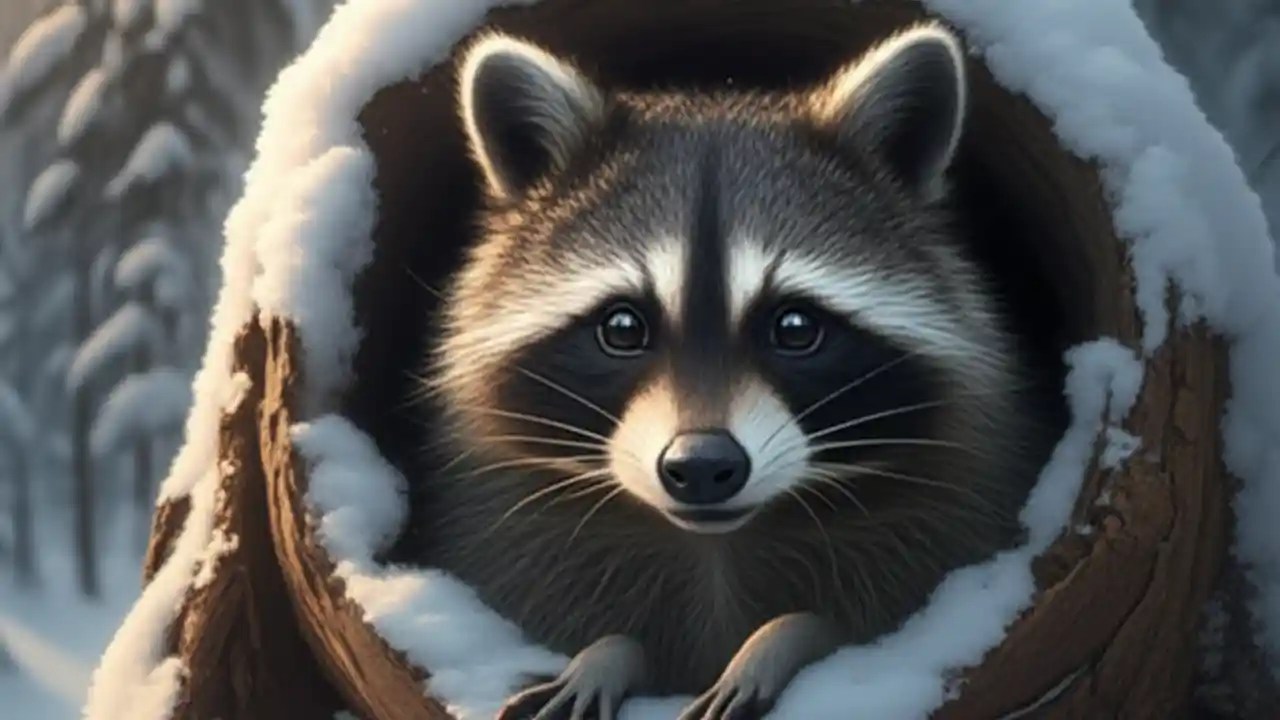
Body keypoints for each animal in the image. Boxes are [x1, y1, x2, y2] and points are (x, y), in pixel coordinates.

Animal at [413, 22, 1057, 720]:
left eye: (795, 328)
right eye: (623, 328)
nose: (701, 465)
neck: (714, 547)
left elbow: (844, 625)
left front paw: (781, 638)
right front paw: (607, 652)